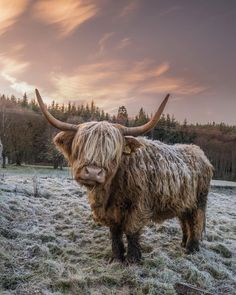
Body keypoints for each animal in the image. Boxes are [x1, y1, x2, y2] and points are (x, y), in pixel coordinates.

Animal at [35, 89, 214, 264]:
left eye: (112, 151)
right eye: (81, 146)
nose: (93, 172)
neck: (111, 189)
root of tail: (198, 151)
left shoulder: (138, 206)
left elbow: (131, 230)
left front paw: (132, 259)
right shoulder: (110, 211)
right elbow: (115, 232)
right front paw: (117, 257)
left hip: (199, 200)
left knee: (196, 221)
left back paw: (191, 249)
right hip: (184, 202)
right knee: (185, 221)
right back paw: (183, 243)